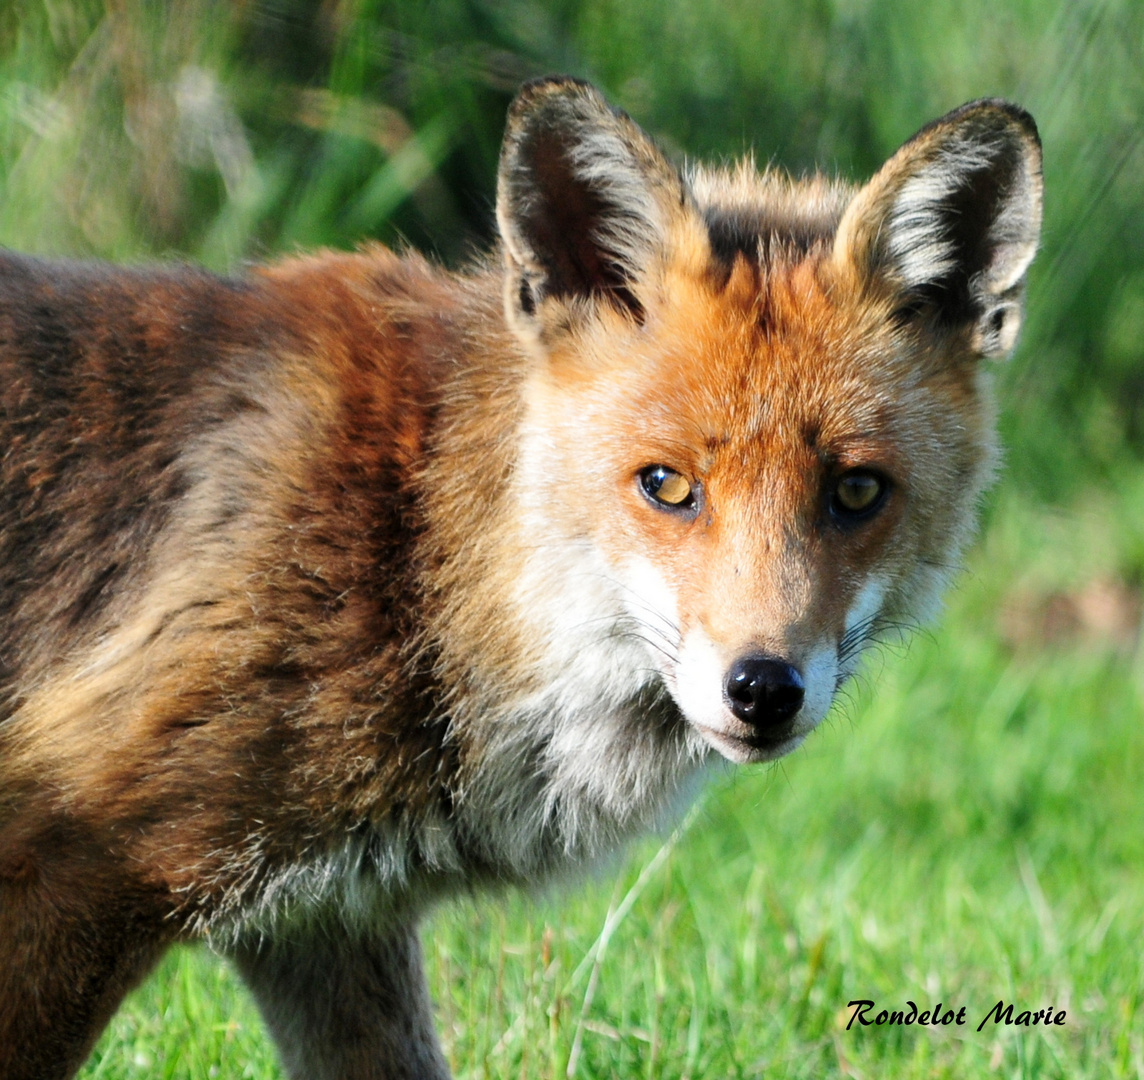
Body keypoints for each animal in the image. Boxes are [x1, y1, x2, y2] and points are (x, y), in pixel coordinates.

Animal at [0, 76, 1041, 1079]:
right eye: (667, 486)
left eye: (856, 491)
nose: (762, 689)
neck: (414, 550)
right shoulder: (71, 864)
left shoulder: (325, 924)